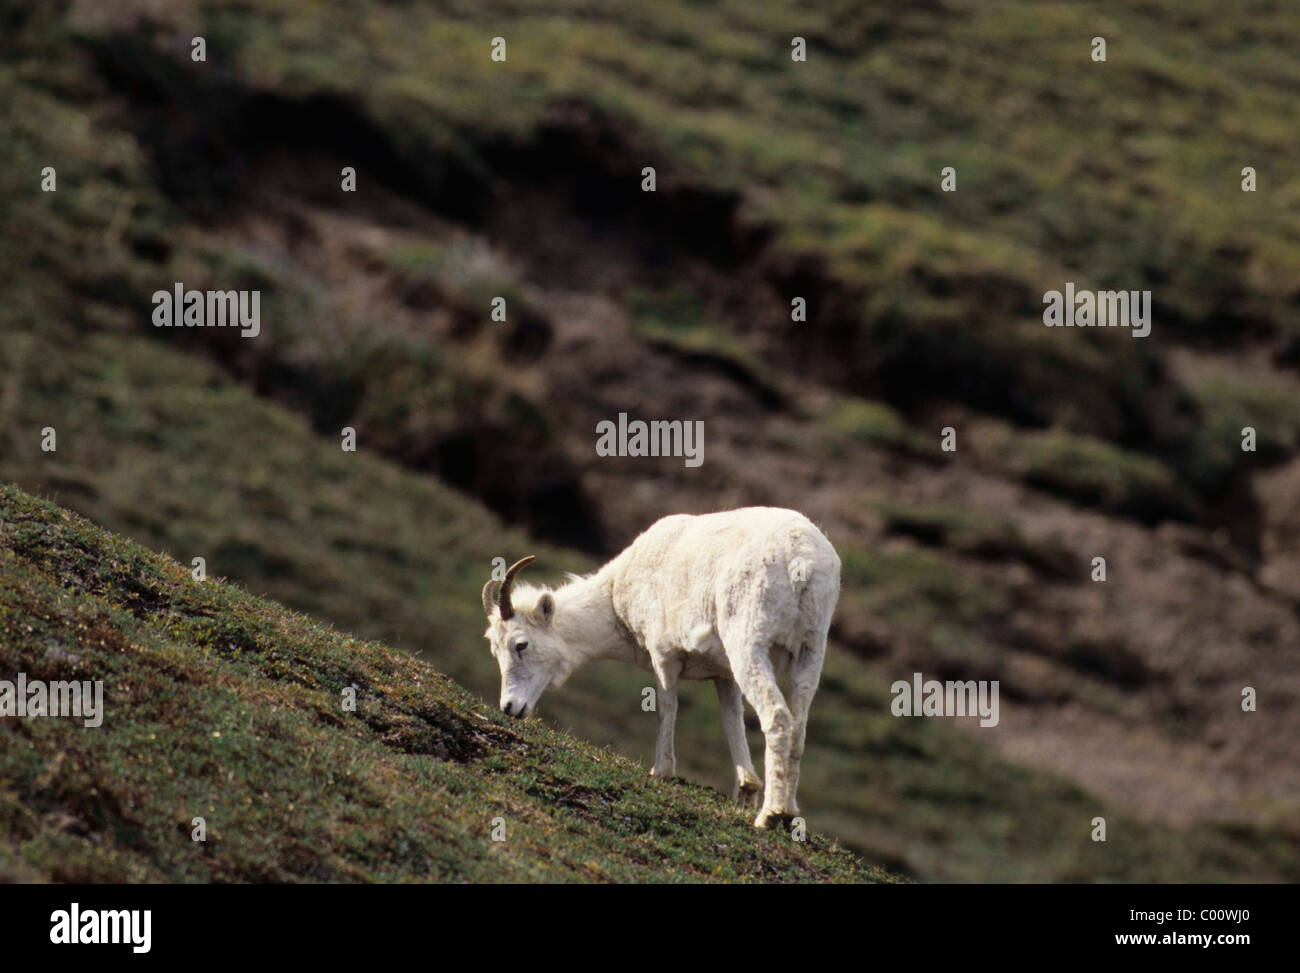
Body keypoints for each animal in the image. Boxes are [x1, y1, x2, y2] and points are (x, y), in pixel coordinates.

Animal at [481, 506, 841, 830]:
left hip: (749, 647)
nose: (510, 707)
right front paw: (745, 790)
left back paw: (770, 816)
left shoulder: (664, 656)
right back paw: (789, 813)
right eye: (494, 650)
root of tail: (802, 562)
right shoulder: (724, 674)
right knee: (798, 725)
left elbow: (666, 708)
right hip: (810, 654)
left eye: (521, 644)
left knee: (777, 717)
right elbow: (731, 720)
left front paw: (662, 771)